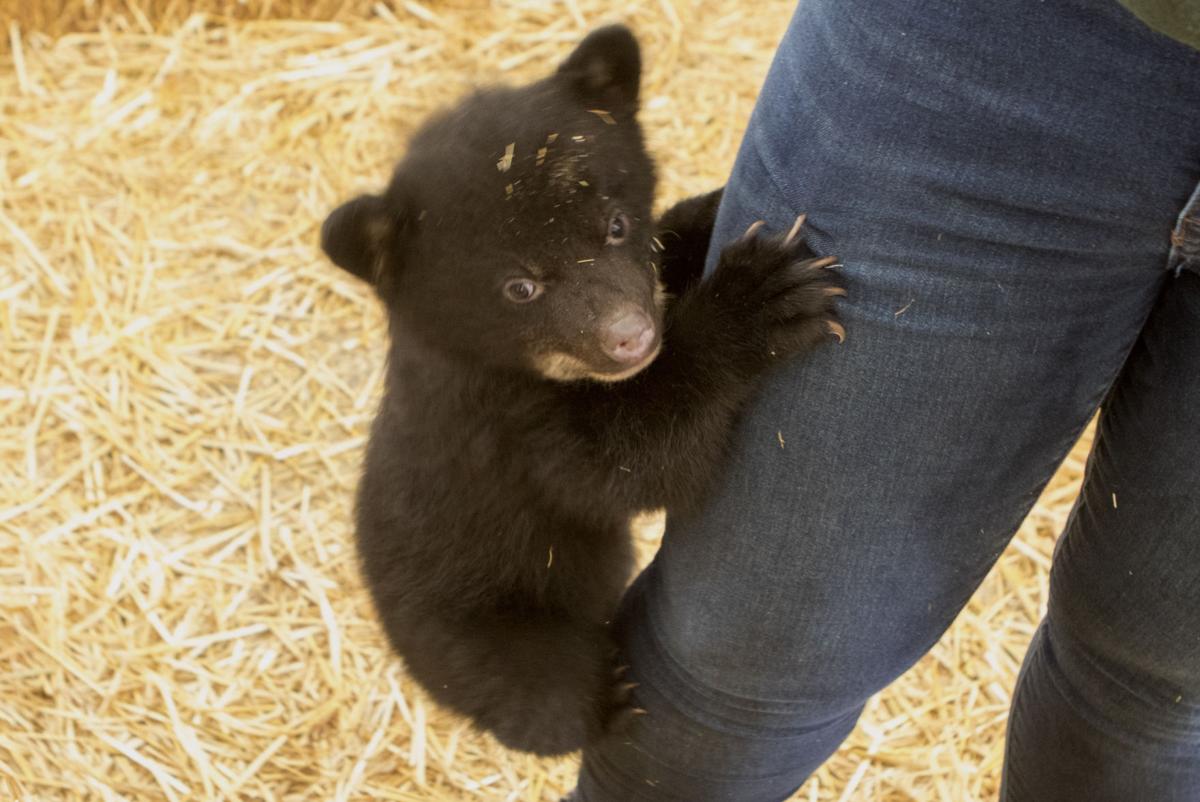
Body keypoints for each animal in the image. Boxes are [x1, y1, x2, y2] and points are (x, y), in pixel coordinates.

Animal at [319, 24, 844, 756]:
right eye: (520, 287)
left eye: (615, 224)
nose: (631, 337)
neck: (501, 364)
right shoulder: (513, 432)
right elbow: (631, 463)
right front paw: (751, 302)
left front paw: (709, 212)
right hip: (490, 630)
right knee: (544, 698)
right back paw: (610, 699)